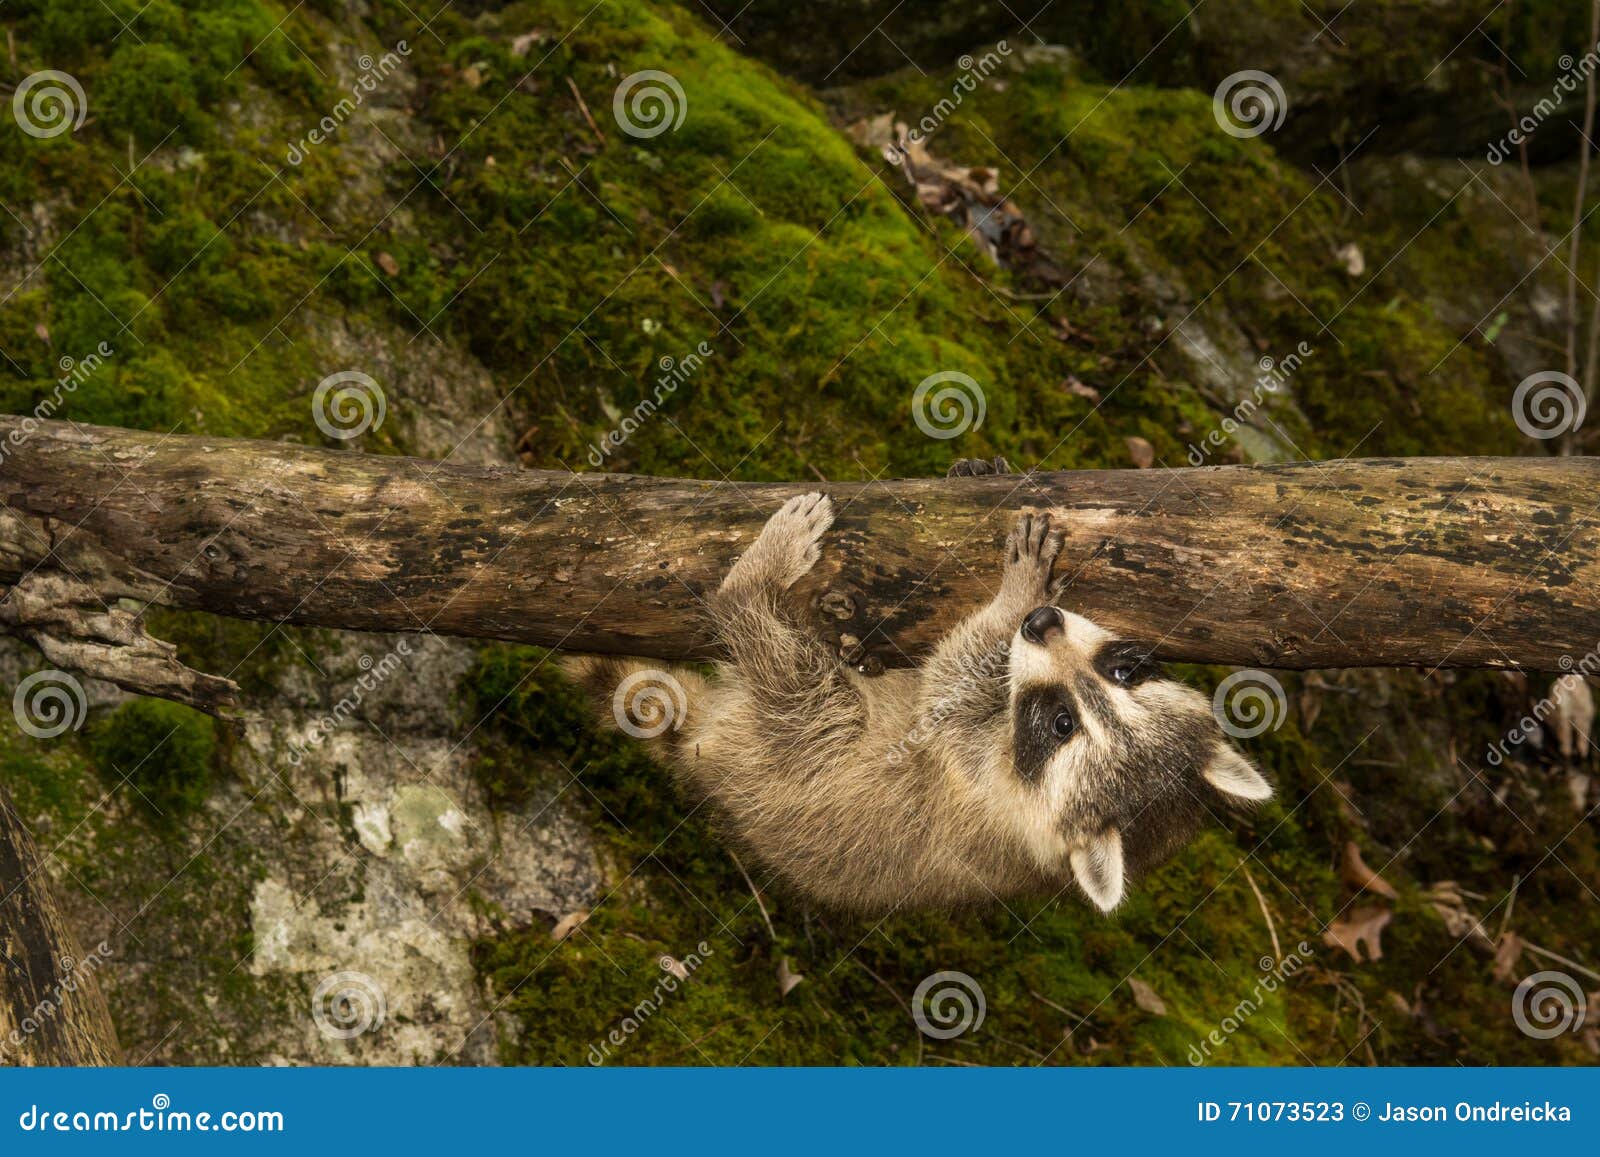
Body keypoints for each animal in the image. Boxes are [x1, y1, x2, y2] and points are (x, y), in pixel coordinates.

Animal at [567, 471, 1272, 915]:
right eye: (1125, 671)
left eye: (1060, 723)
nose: (1042, 622)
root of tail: (703, 759)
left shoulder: (967, 773)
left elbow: (949, 683)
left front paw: (1010, 602)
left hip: (791, 745)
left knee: (803, 682)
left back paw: (752, 585)